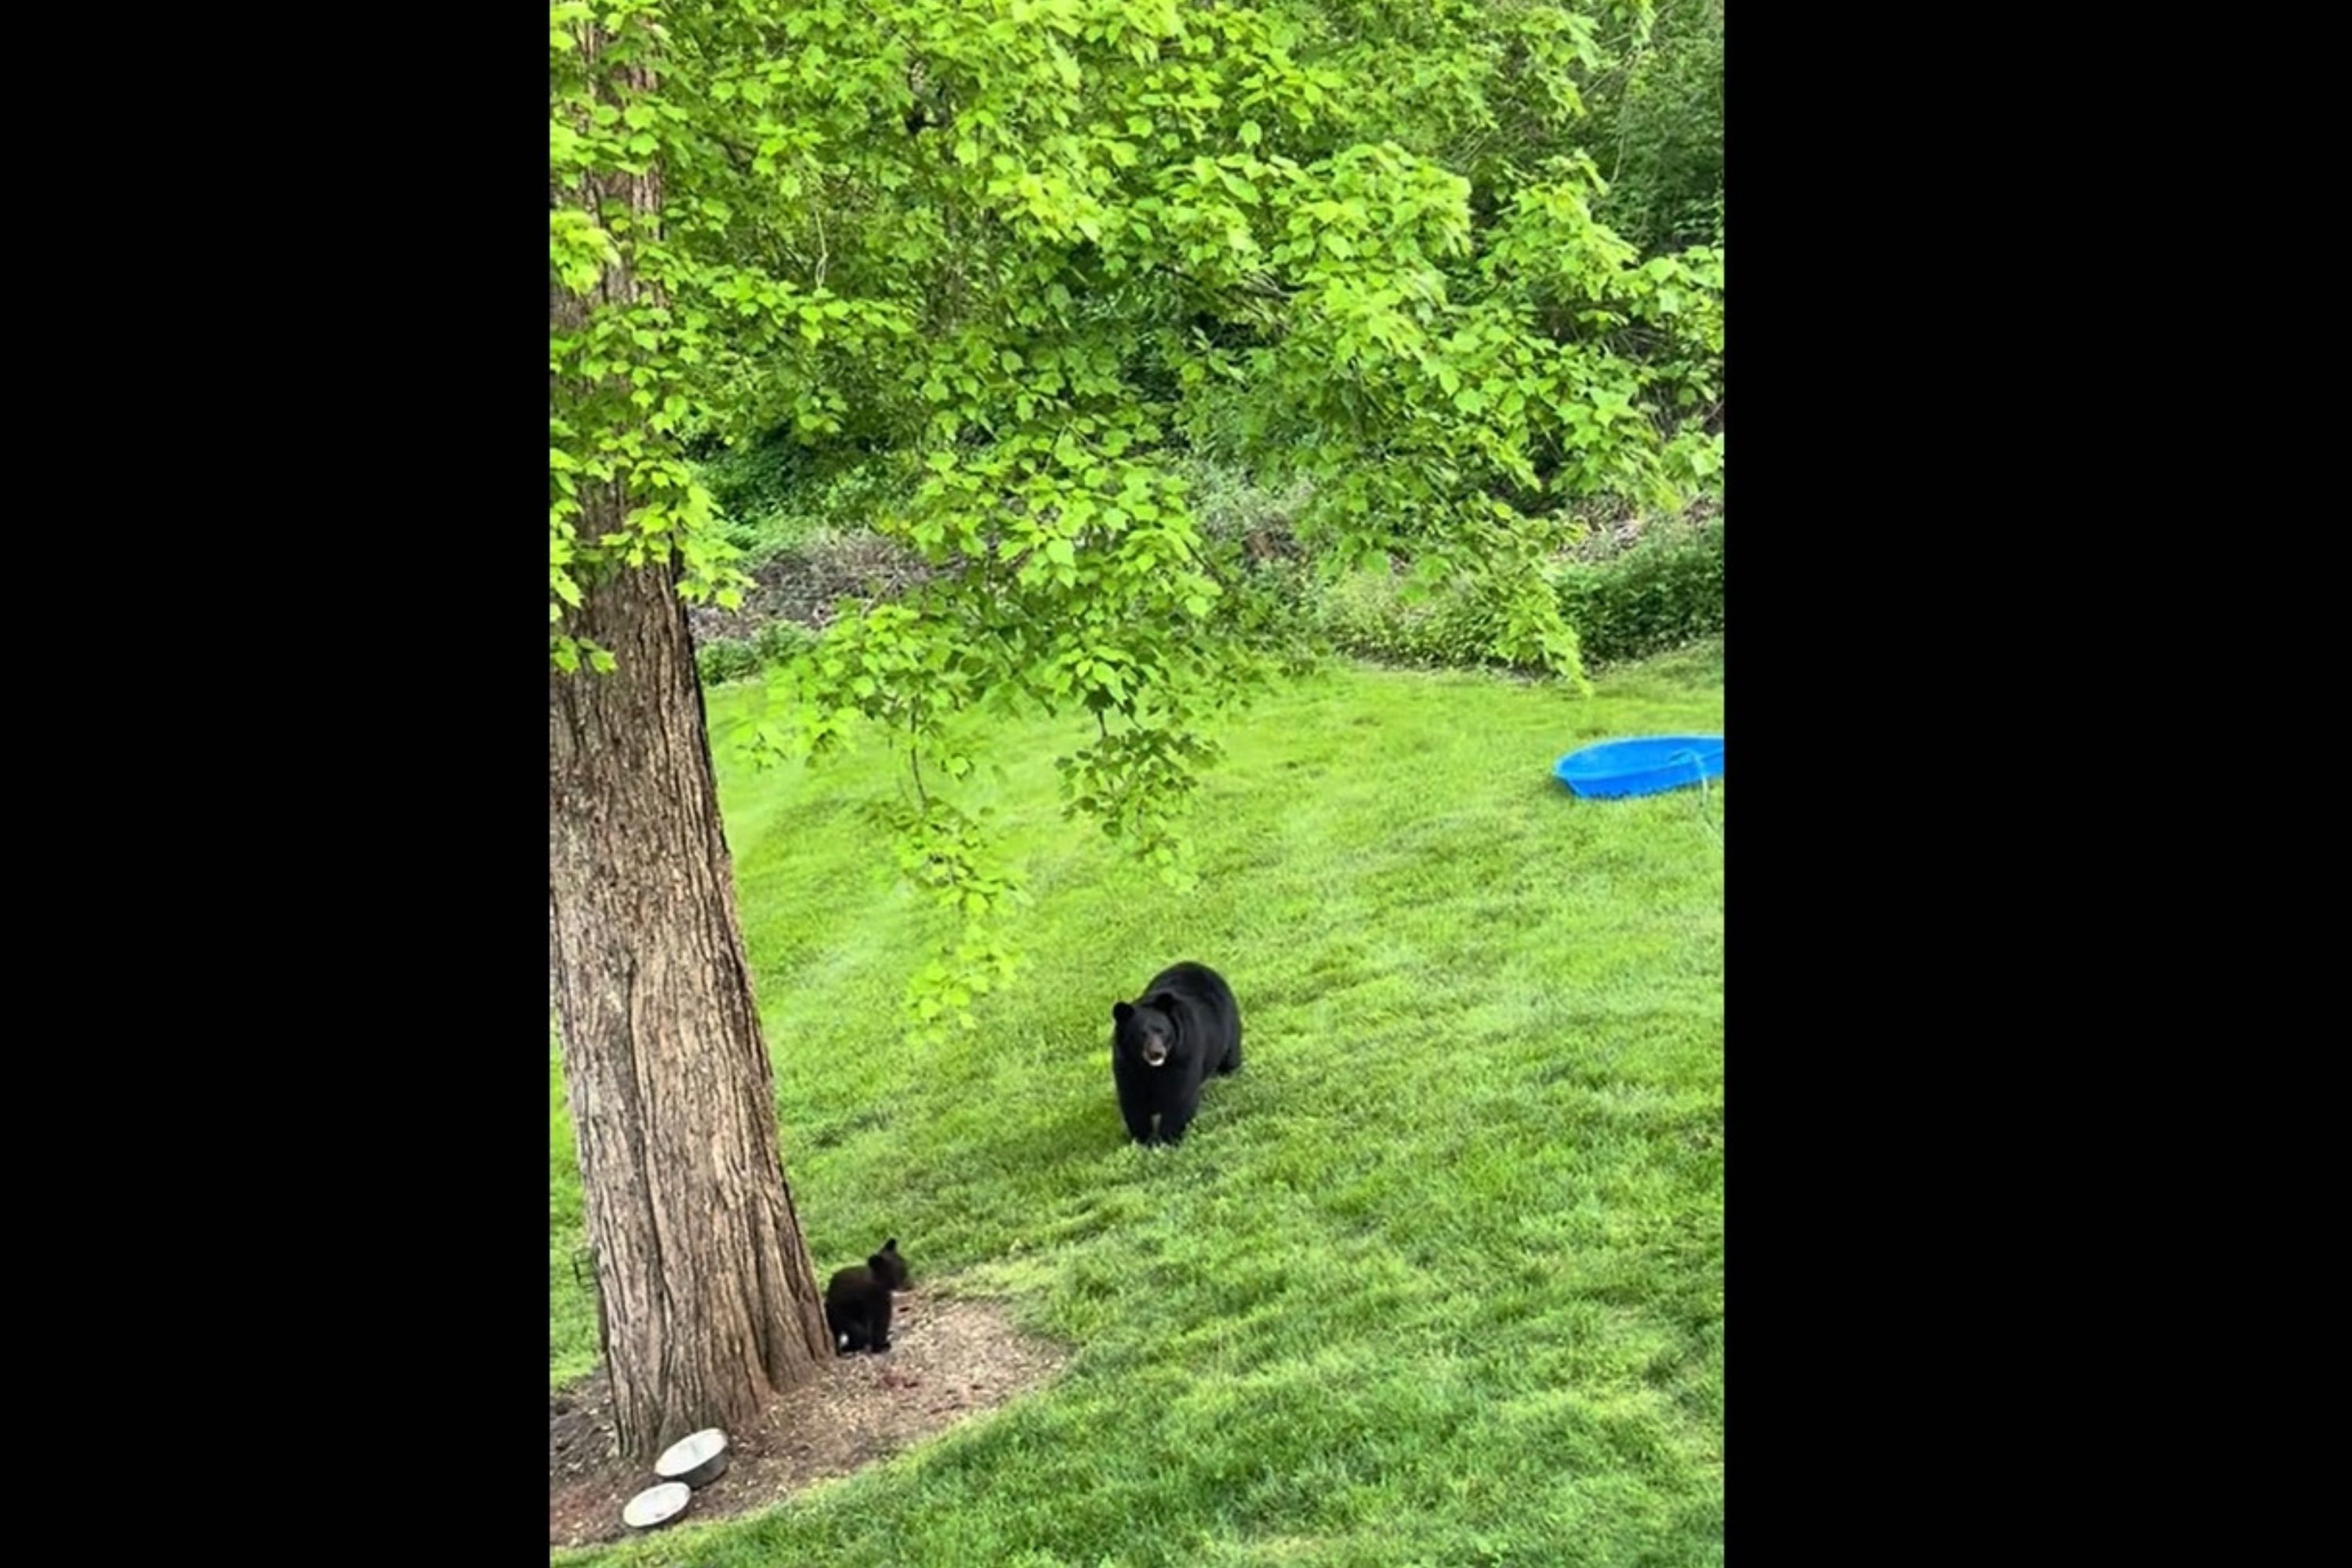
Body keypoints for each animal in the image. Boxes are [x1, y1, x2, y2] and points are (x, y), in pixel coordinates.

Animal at [824, 1237, 910, 1355]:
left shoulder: (882, 1304)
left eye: (904, 1263)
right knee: (841, 1331)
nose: (908, 1285)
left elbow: (881, 1324)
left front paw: (880, 1345)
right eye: (898, 1270)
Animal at [1110, 960, 1242, 1147]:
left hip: (1229, 1027)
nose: (1156, 1053)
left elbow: (1179, 1095)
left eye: (1161, 1031)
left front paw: (1168, 1139)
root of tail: (1197, 964)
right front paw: (1144, 1140)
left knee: (1230, 1056)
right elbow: (1134, 1099)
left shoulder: (1183, 1055)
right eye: (1141, 1034)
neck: (1152, 1069)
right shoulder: (1127, 1064)